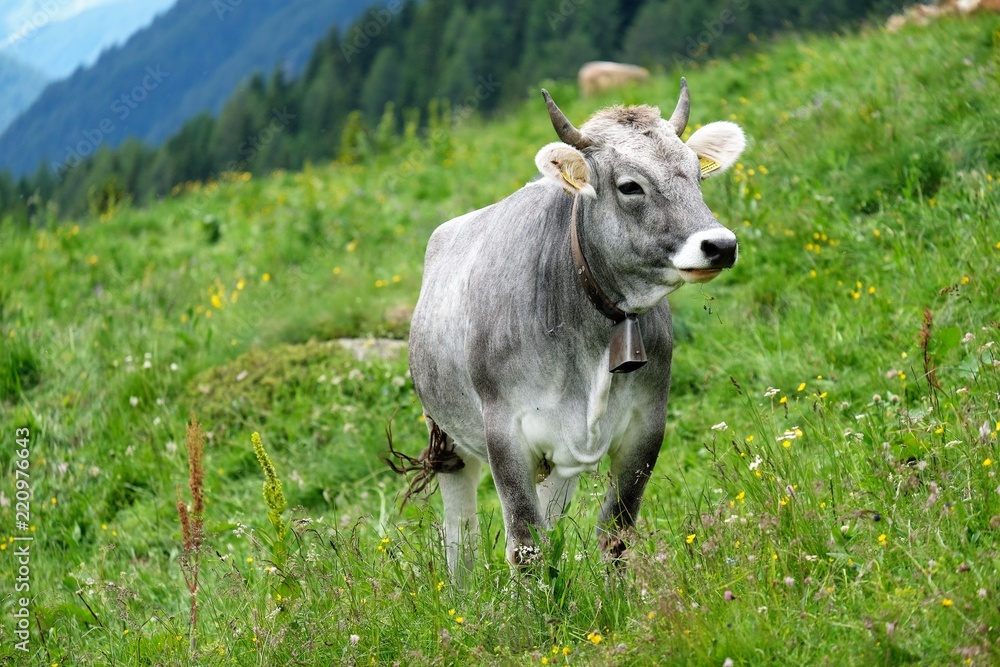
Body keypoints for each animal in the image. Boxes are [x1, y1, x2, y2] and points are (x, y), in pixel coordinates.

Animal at [407, 79, 746, 574]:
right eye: (630, 186)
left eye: (697, 175)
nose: (720, 245)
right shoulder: (504, 430)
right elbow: (524, 545)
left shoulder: (648, 425)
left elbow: (615, 535)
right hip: (447, 436)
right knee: (461, 535)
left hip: (560, 457)